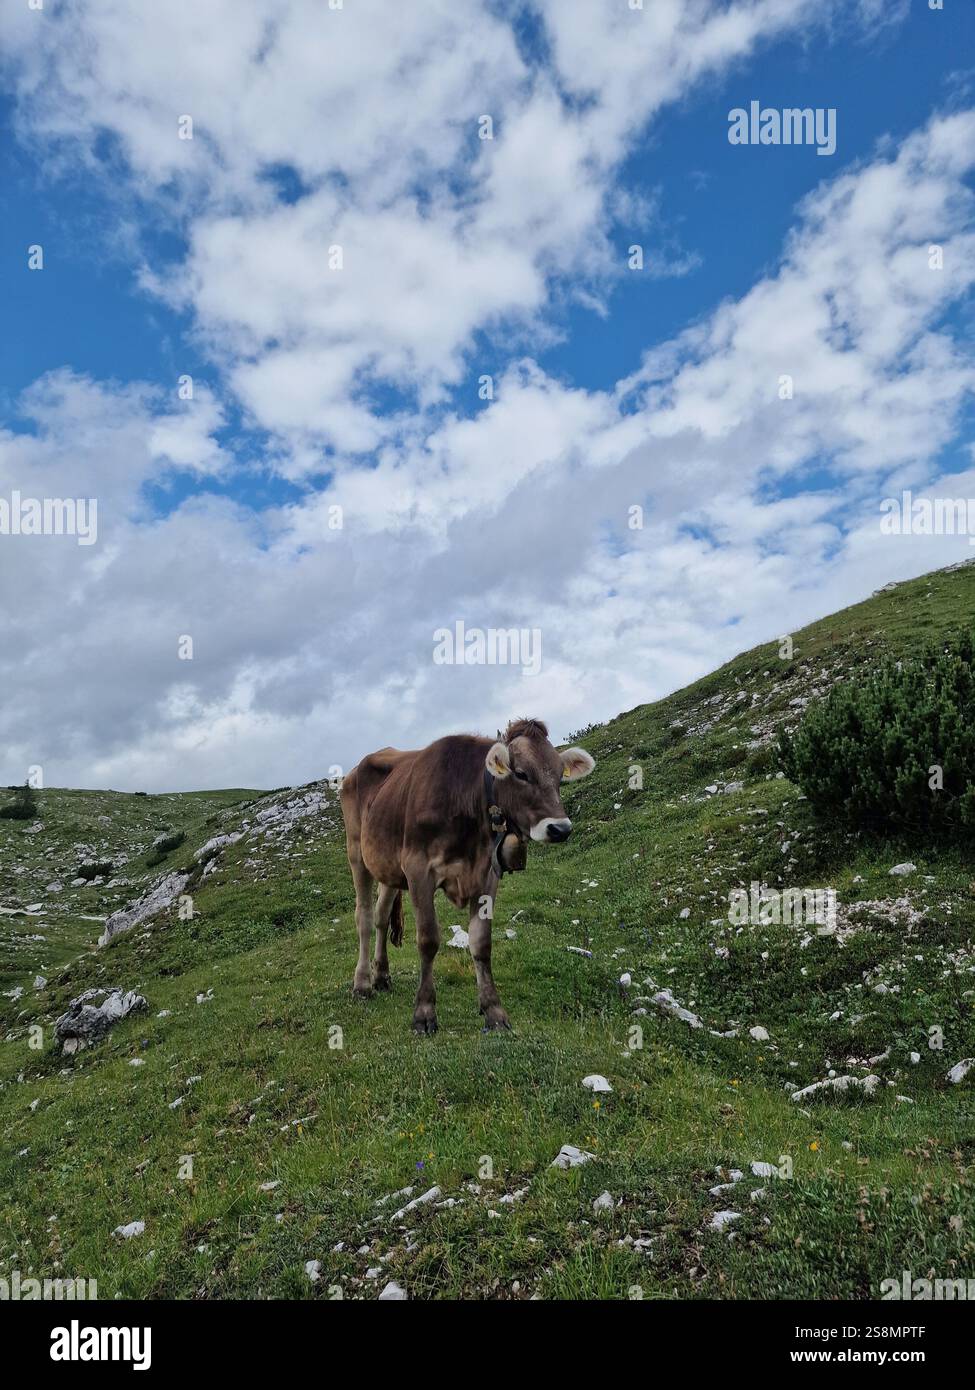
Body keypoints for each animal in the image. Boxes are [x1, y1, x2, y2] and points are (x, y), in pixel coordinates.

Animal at [340, 718, 595, 1033]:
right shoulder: (418, 869)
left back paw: (382, 976)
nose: (560, 829)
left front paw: (494, 1011)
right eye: (521, 774)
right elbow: (428, 940)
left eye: (560, 776)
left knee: (381, 916)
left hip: (387, 865)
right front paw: (424, 1013)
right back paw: (362, 984)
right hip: (356, 852)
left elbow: (481, 943)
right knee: (363, 918)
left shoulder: (487, 873)